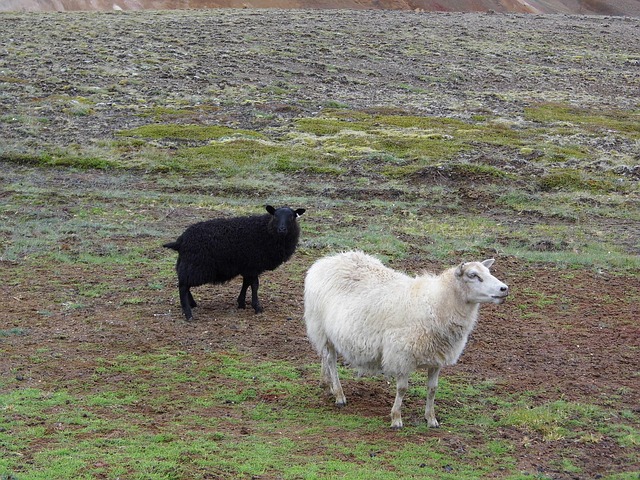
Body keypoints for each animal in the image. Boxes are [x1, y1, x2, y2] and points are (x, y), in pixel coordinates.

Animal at [164, 205, 305, 321]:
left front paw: (241, 303)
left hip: (187, 264)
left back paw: (192, 304)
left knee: (183, 283)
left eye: (292, 217)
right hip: (196, 265)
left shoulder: (247, 267)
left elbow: (246, 284)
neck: (266, 231)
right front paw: (257, 307)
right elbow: (255, 285)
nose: (282, 229)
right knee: (183, 286)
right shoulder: (252, 266)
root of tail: (181, 241)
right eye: (275, 216)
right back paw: (188, 314)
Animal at [303, 251, 508, 429]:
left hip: (328, 332)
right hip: (321, 327)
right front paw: (396, 419)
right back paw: (339, 395)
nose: (504, 289)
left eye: (488, 272)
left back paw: (326, 383)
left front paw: (431, 419)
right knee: (331, 360)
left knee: (325, 356)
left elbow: (432, 389)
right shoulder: (402, 355)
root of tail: (326, 260)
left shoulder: (437, 358)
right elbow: (402, 389)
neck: (437, 303)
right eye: (473, 275)